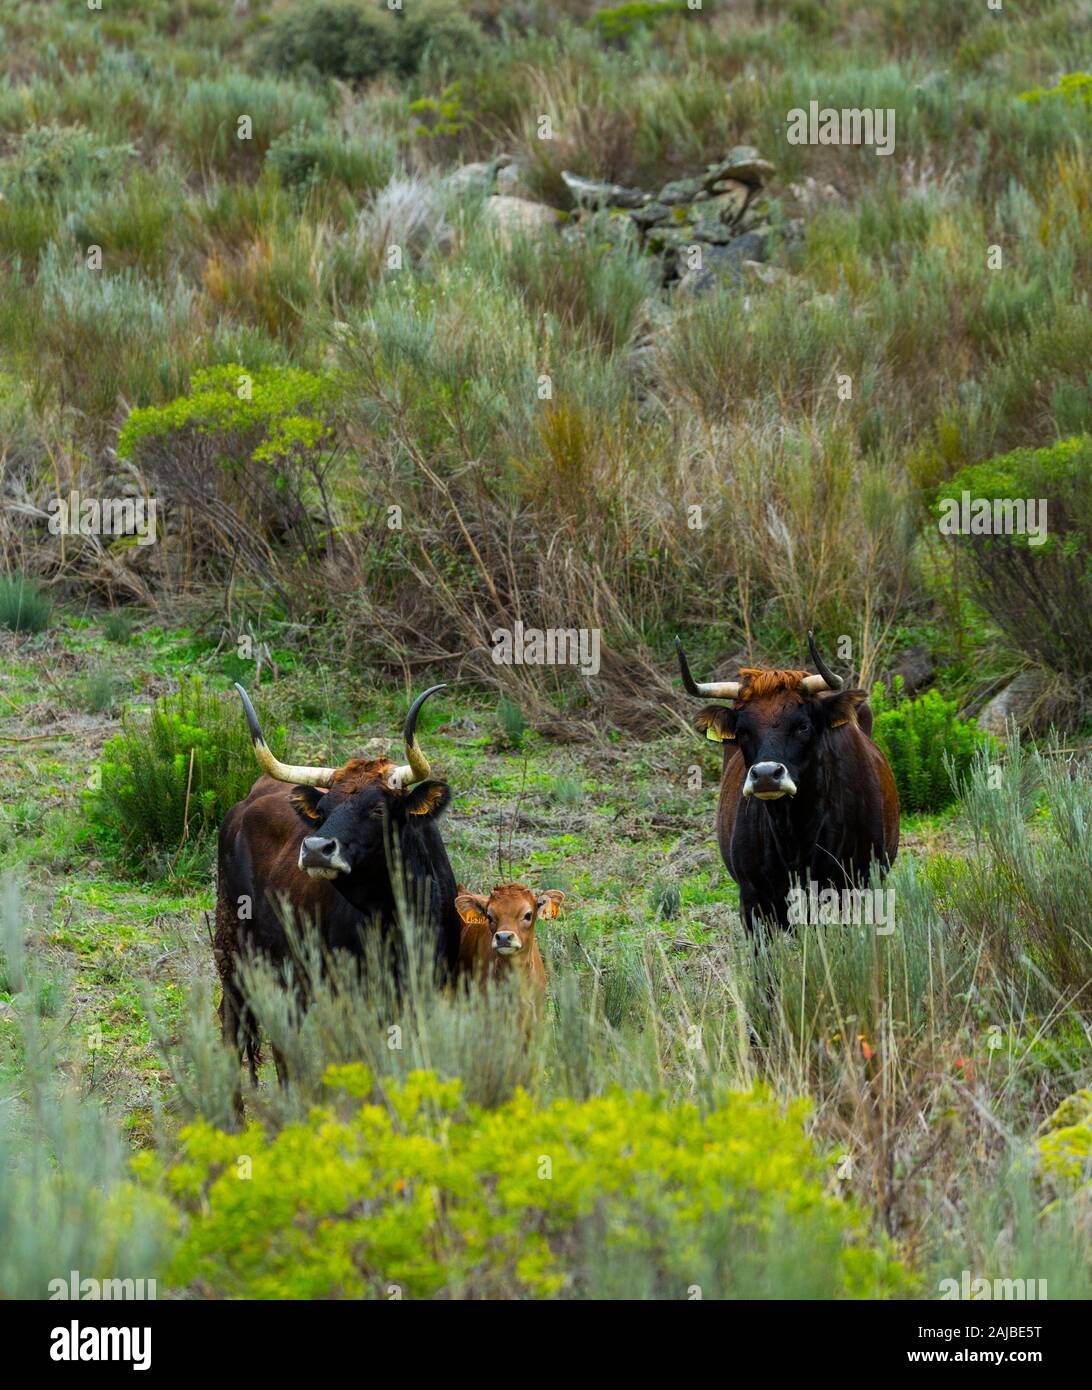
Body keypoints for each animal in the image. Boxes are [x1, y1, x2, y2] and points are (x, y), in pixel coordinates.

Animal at [214, 682, 460, 1082]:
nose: (316, 849)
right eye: (323, 810)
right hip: (234, 953)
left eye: (378, 808)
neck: (393, 914)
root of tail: (245, 802)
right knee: (236, 1029)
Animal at [675, 631, 899, 934]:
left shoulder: (852, 890)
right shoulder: (753, 902)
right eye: (743, 731)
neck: (797, 834)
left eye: (802, 726)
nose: (766, 775)